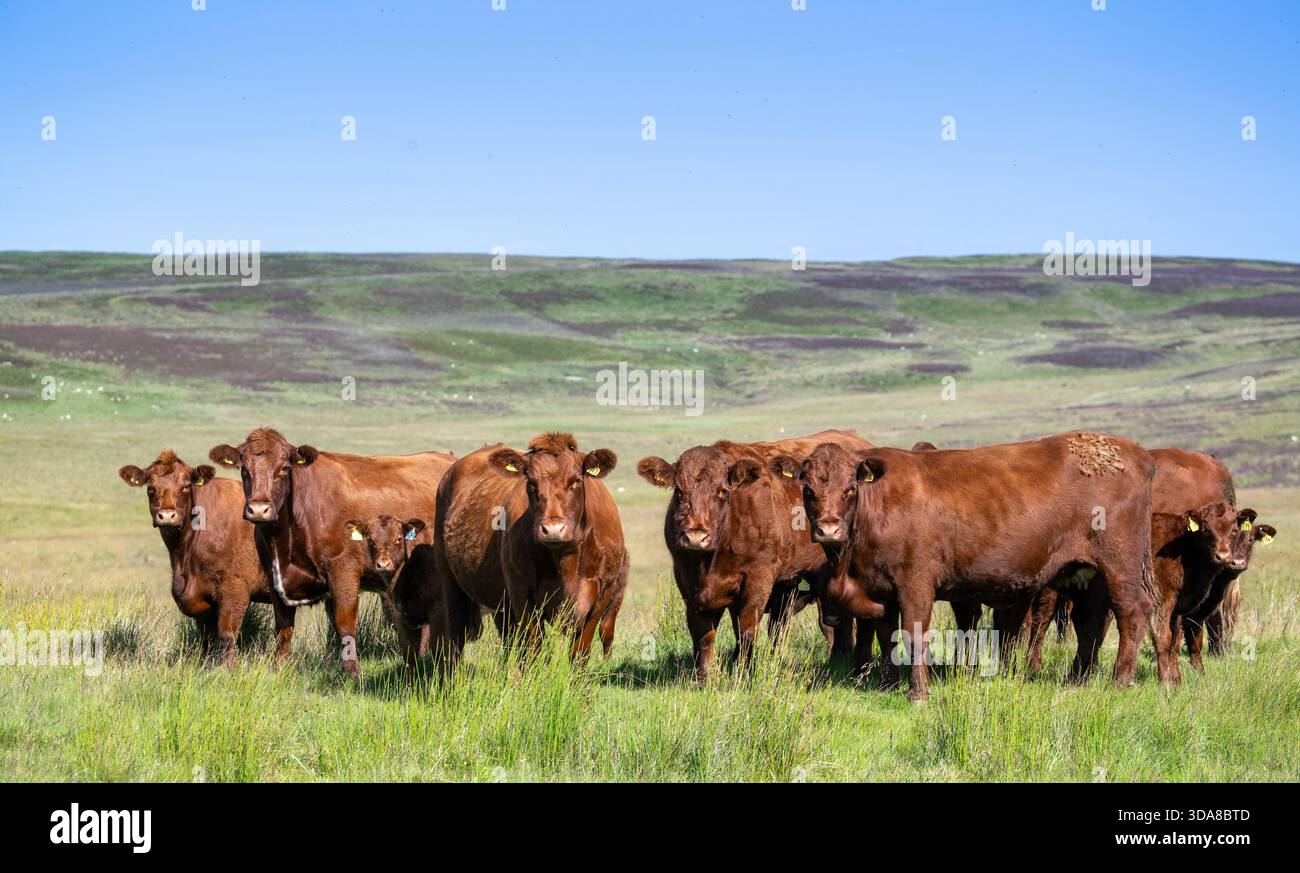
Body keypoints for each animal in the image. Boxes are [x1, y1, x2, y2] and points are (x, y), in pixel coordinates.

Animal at [118, 450, 282, 665]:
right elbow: (208, 639)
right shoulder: (201, 600)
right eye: (150, 488)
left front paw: (228, 668)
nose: (167, 516)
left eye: (186, 486)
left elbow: (226, 634)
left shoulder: (235, 590)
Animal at [425, 433, 628, 676]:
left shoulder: (603, 595)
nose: (553, 529)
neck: (566, 561)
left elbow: (580, 652)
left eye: (577, 480)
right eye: (531, 483)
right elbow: (533, 650)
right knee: (456, 636)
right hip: (451, 581)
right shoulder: (522, 594)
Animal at [637, 429, 872, 682]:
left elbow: (746, 631)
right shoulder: (688, 583)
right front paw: (704, 678)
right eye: (679, 491)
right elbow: (703, 635)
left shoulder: (758, 579)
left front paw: (743, 674)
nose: (696, 536)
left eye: (722, 491)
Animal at [780, 432, 1157, 700]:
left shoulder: (915, 584)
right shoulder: (881, 589)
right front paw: (888, 684)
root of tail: (1136, 454)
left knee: (1132, 612)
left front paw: (918, 692)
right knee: (1090, 622)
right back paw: (1078, 680)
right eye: (808, 490)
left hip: (1119, 567)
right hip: (1084, 575)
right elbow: (887, 637)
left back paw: (1119, 680)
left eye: (850, 489)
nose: (828, 529)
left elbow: (915, 634)